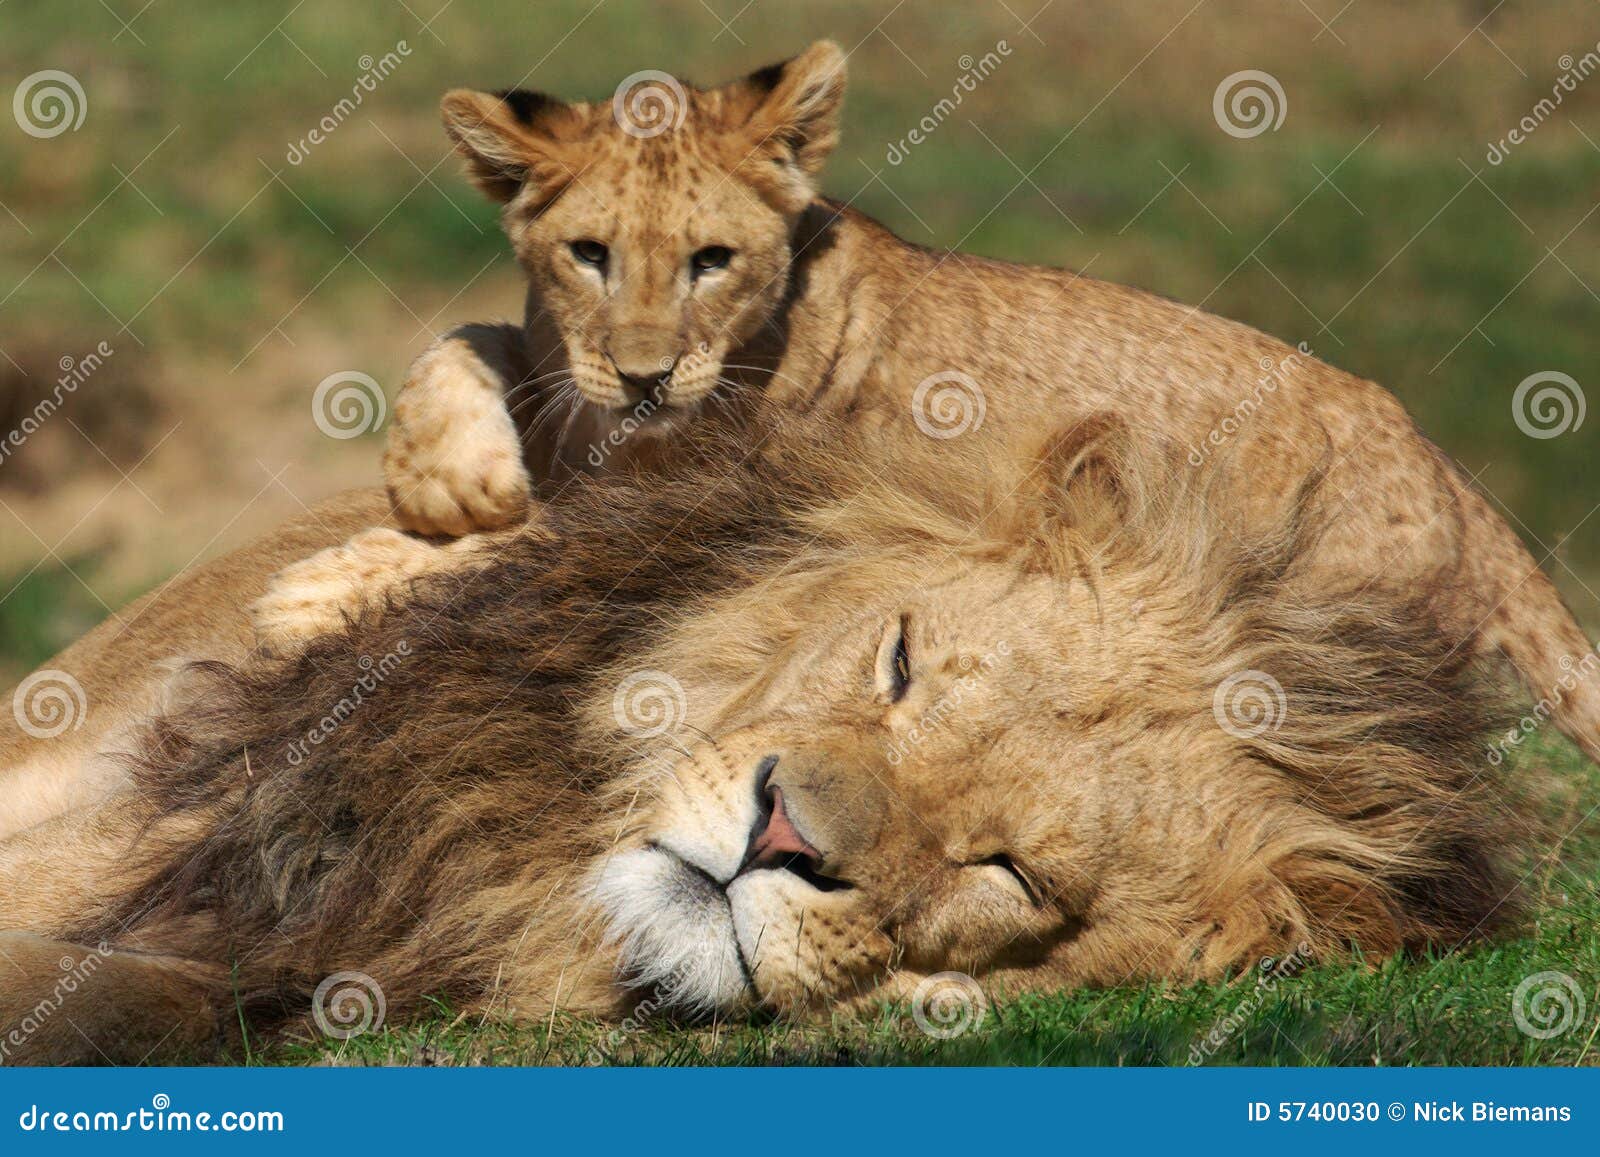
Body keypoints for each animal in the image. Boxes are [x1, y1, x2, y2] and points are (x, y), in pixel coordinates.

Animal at [376, 40, 1600, 765]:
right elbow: (464, 338)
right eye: (588, 253)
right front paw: (447, 481)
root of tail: (1450, 478)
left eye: (710, 261)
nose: (642, 373)